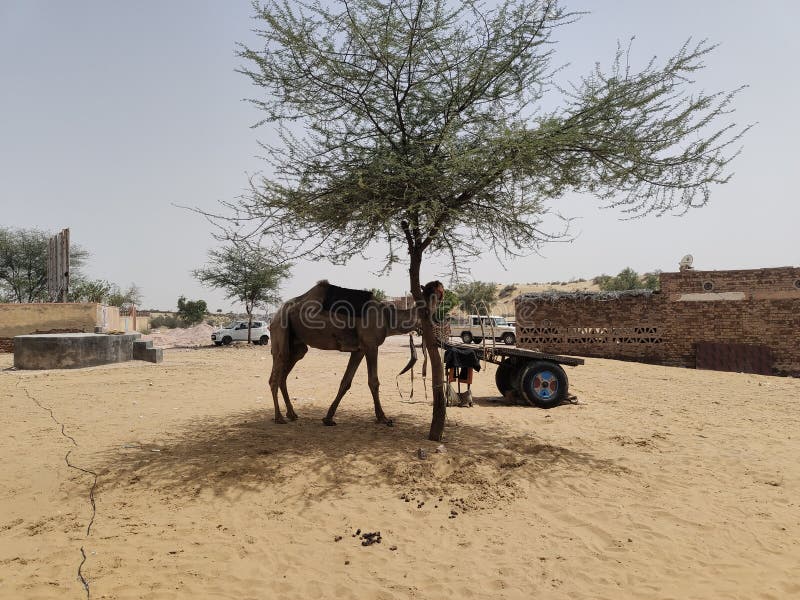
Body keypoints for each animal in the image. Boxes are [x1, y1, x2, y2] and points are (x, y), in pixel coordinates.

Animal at [268, 280, 443, 425]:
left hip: (297, 345)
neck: (387, 318)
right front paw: (383, 417)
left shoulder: (359, 349)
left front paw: (328, 418)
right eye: (436, 292)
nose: (431, 315)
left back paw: (291, 414)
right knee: (275, 374)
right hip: (281, 327)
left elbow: (346, 382)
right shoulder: (371, 345)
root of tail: (277, 313)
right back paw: (279, 417)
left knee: (285, 373)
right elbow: (373, 381)